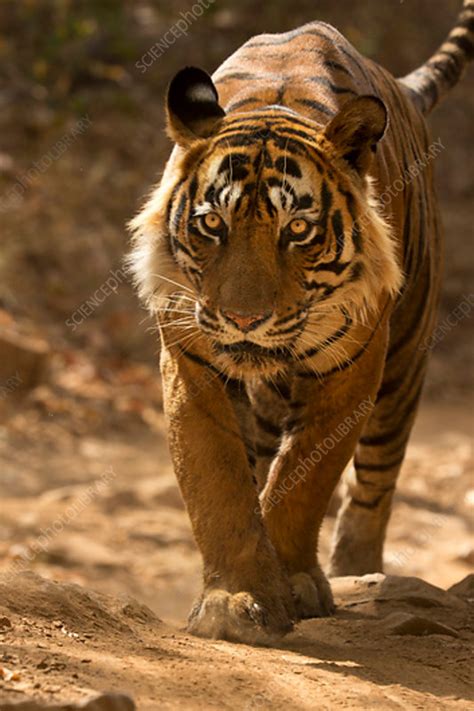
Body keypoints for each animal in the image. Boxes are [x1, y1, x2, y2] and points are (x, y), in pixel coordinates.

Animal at [128, 1, 473, 643]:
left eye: (297, 230)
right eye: (212, 224)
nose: (243, 317)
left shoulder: (353, 366)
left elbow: (303, 480)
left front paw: (292, 584)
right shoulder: (191, 361)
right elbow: (219, 481)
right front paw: (235, 599)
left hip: (404, 366)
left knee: (374, 484)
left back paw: (357, 575)